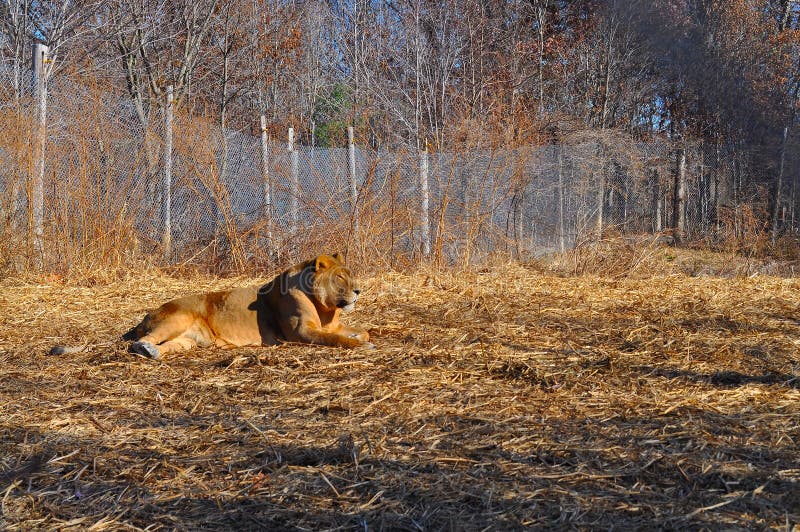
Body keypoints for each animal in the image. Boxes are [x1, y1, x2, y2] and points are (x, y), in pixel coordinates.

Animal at [50, 253, 372, 359]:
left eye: (350, 274)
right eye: (341, 277)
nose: (358, 290)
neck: (326, 308)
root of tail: (142, 319)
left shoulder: (334, 323)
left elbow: (361, 330)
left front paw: (362, 337)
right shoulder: (300, 333)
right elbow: (334, 339)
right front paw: (359, 345)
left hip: (189, 341)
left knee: (168, 346)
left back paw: (155, 353)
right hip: (177, 317)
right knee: (137, 342)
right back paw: (145, 348)